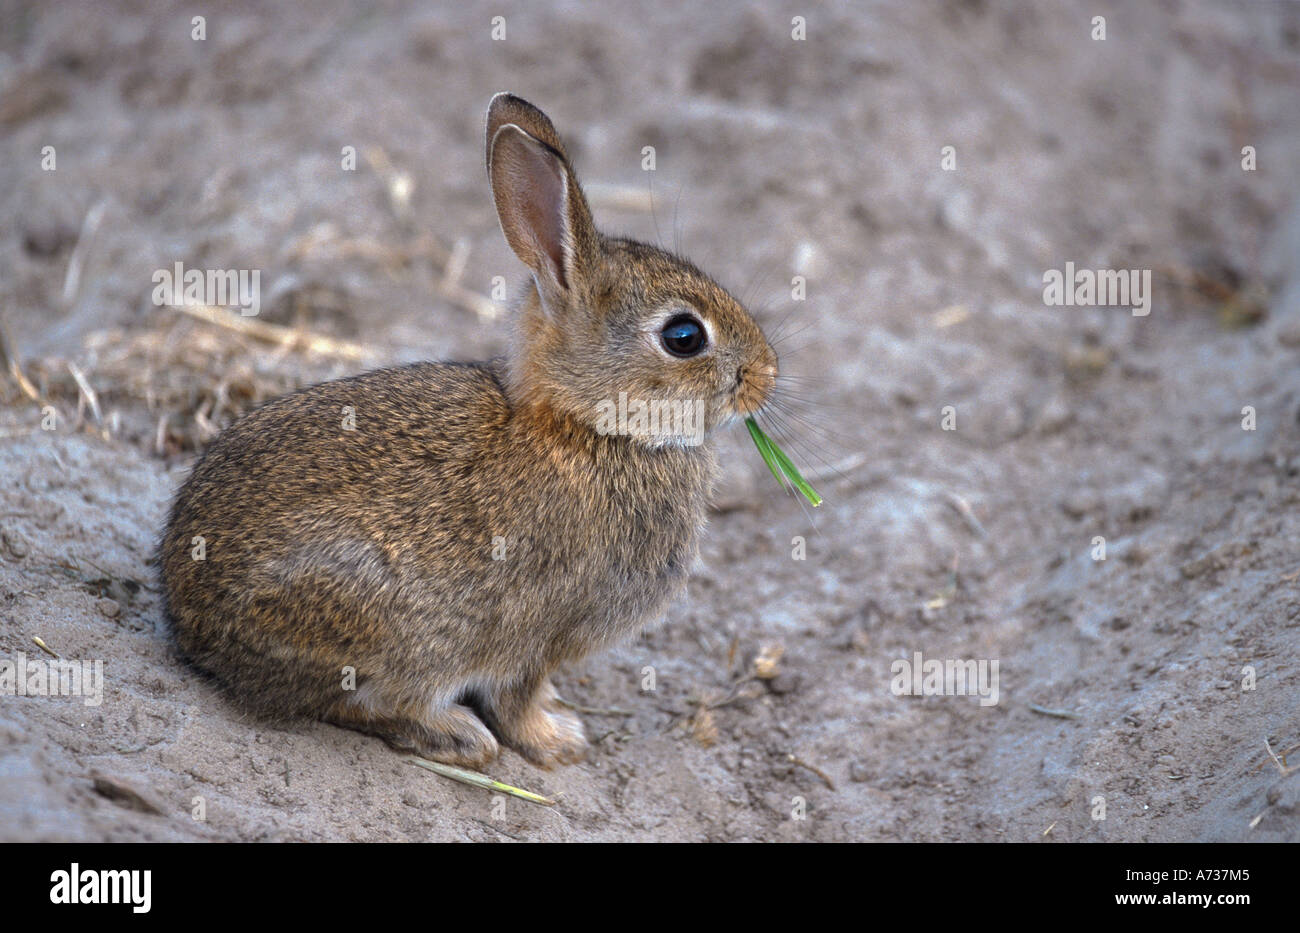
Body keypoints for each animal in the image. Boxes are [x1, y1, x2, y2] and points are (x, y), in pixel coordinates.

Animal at [159, 93, 779, 769]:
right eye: (684, 336)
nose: (767, 374)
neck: (589, 427)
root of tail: (188, 619)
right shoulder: (539, 633)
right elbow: (517, 698)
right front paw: (557, 744)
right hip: (376, 621)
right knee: (359, 703)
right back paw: (457, 735)